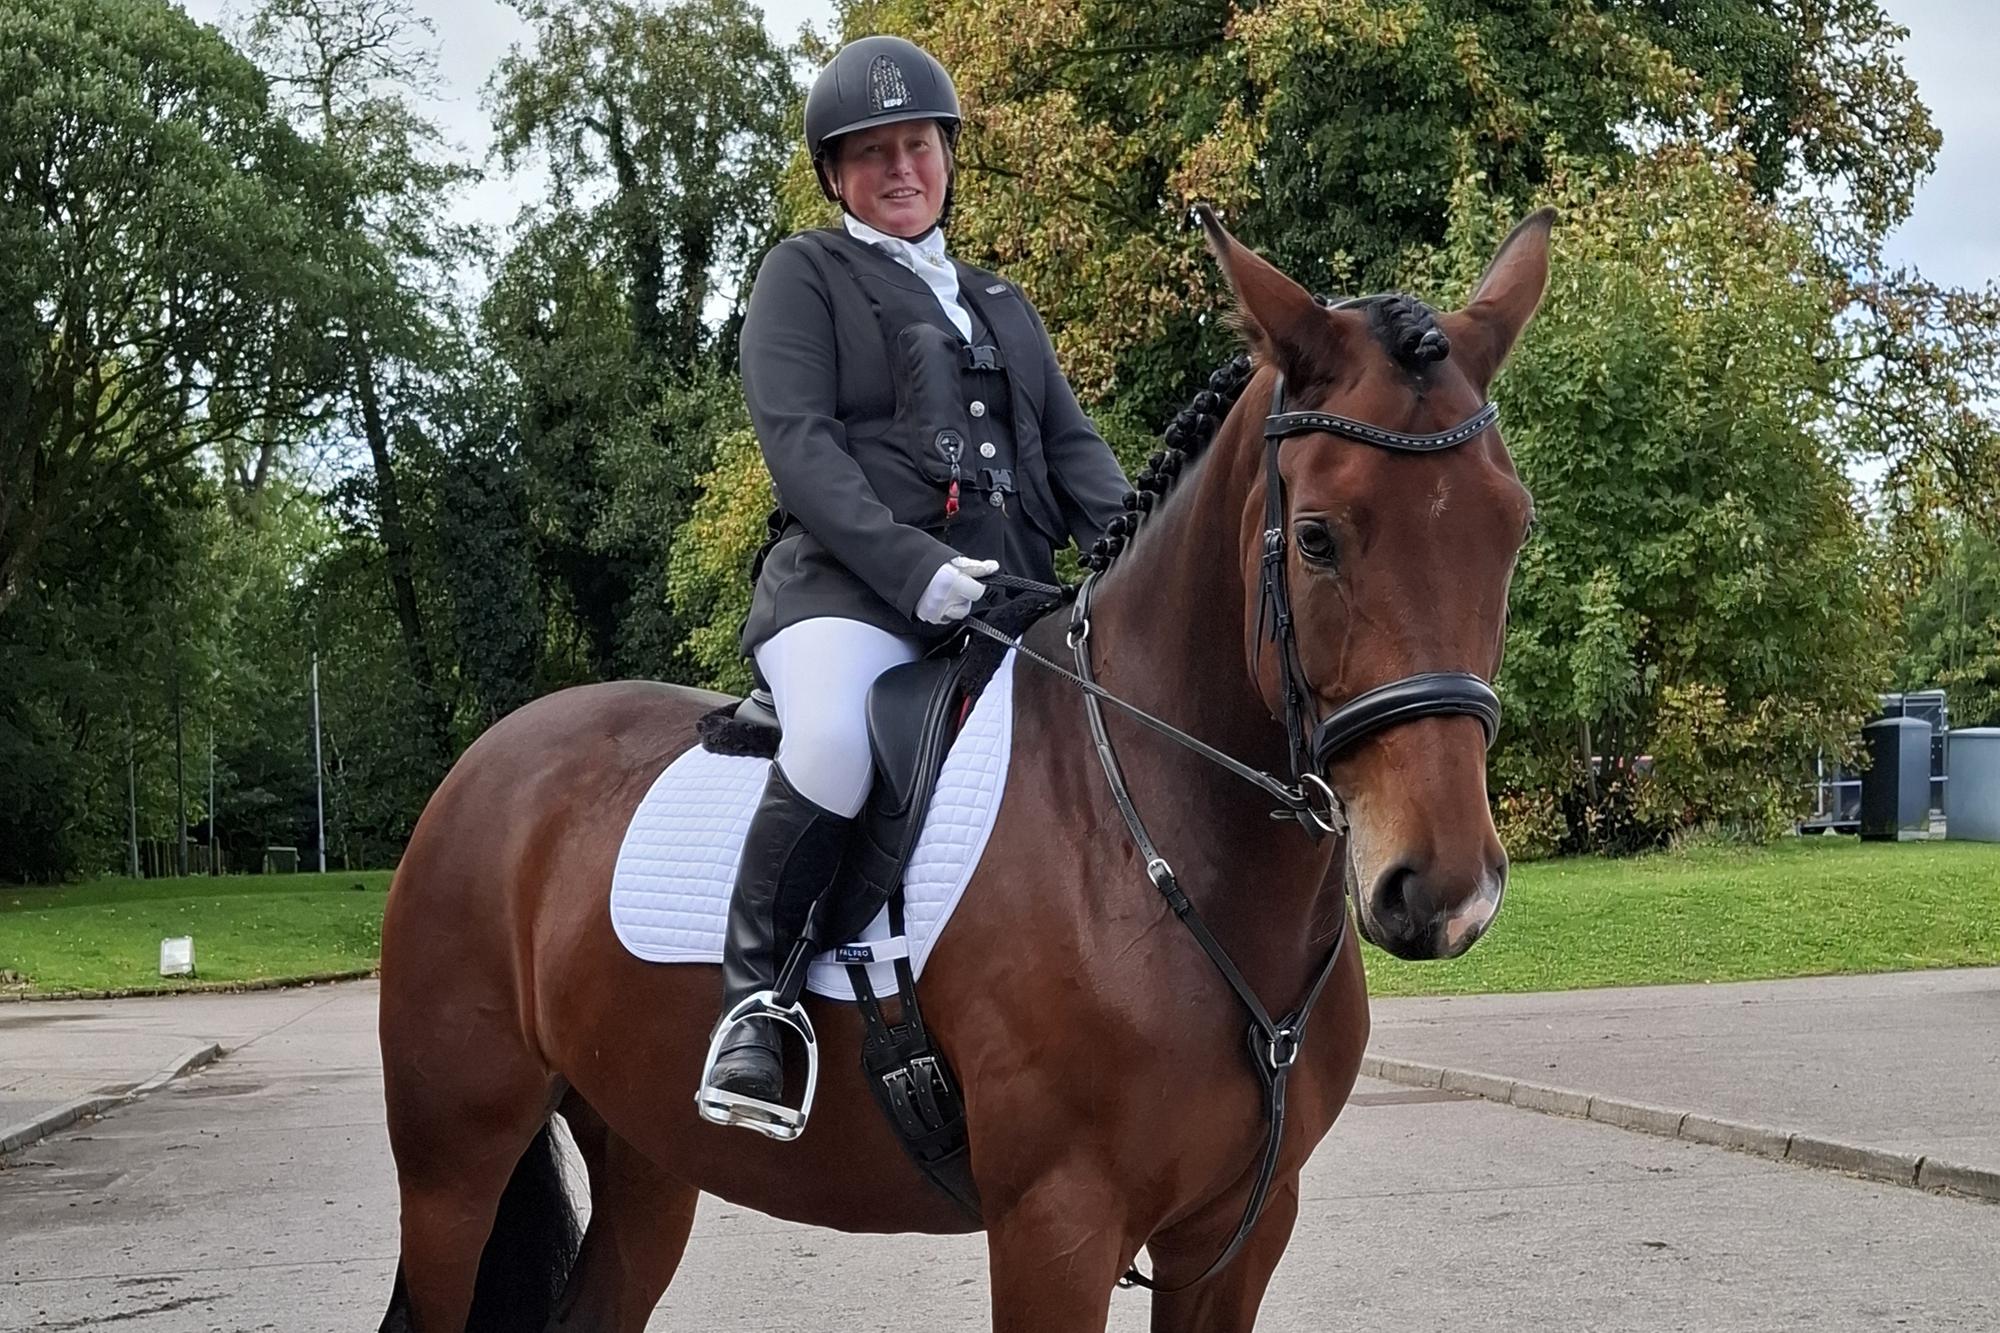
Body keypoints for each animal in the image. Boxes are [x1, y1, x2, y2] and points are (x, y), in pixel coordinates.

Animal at [375, 205, 1551, 1332]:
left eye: (1512, 526)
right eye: (1315, 537)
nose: (1441, 890)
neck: (1146, 841)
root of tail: (490, 761)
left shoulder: (1239, 1231)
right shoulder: (1055, 1227)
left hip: (648, 1152)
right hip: (453, 1168)